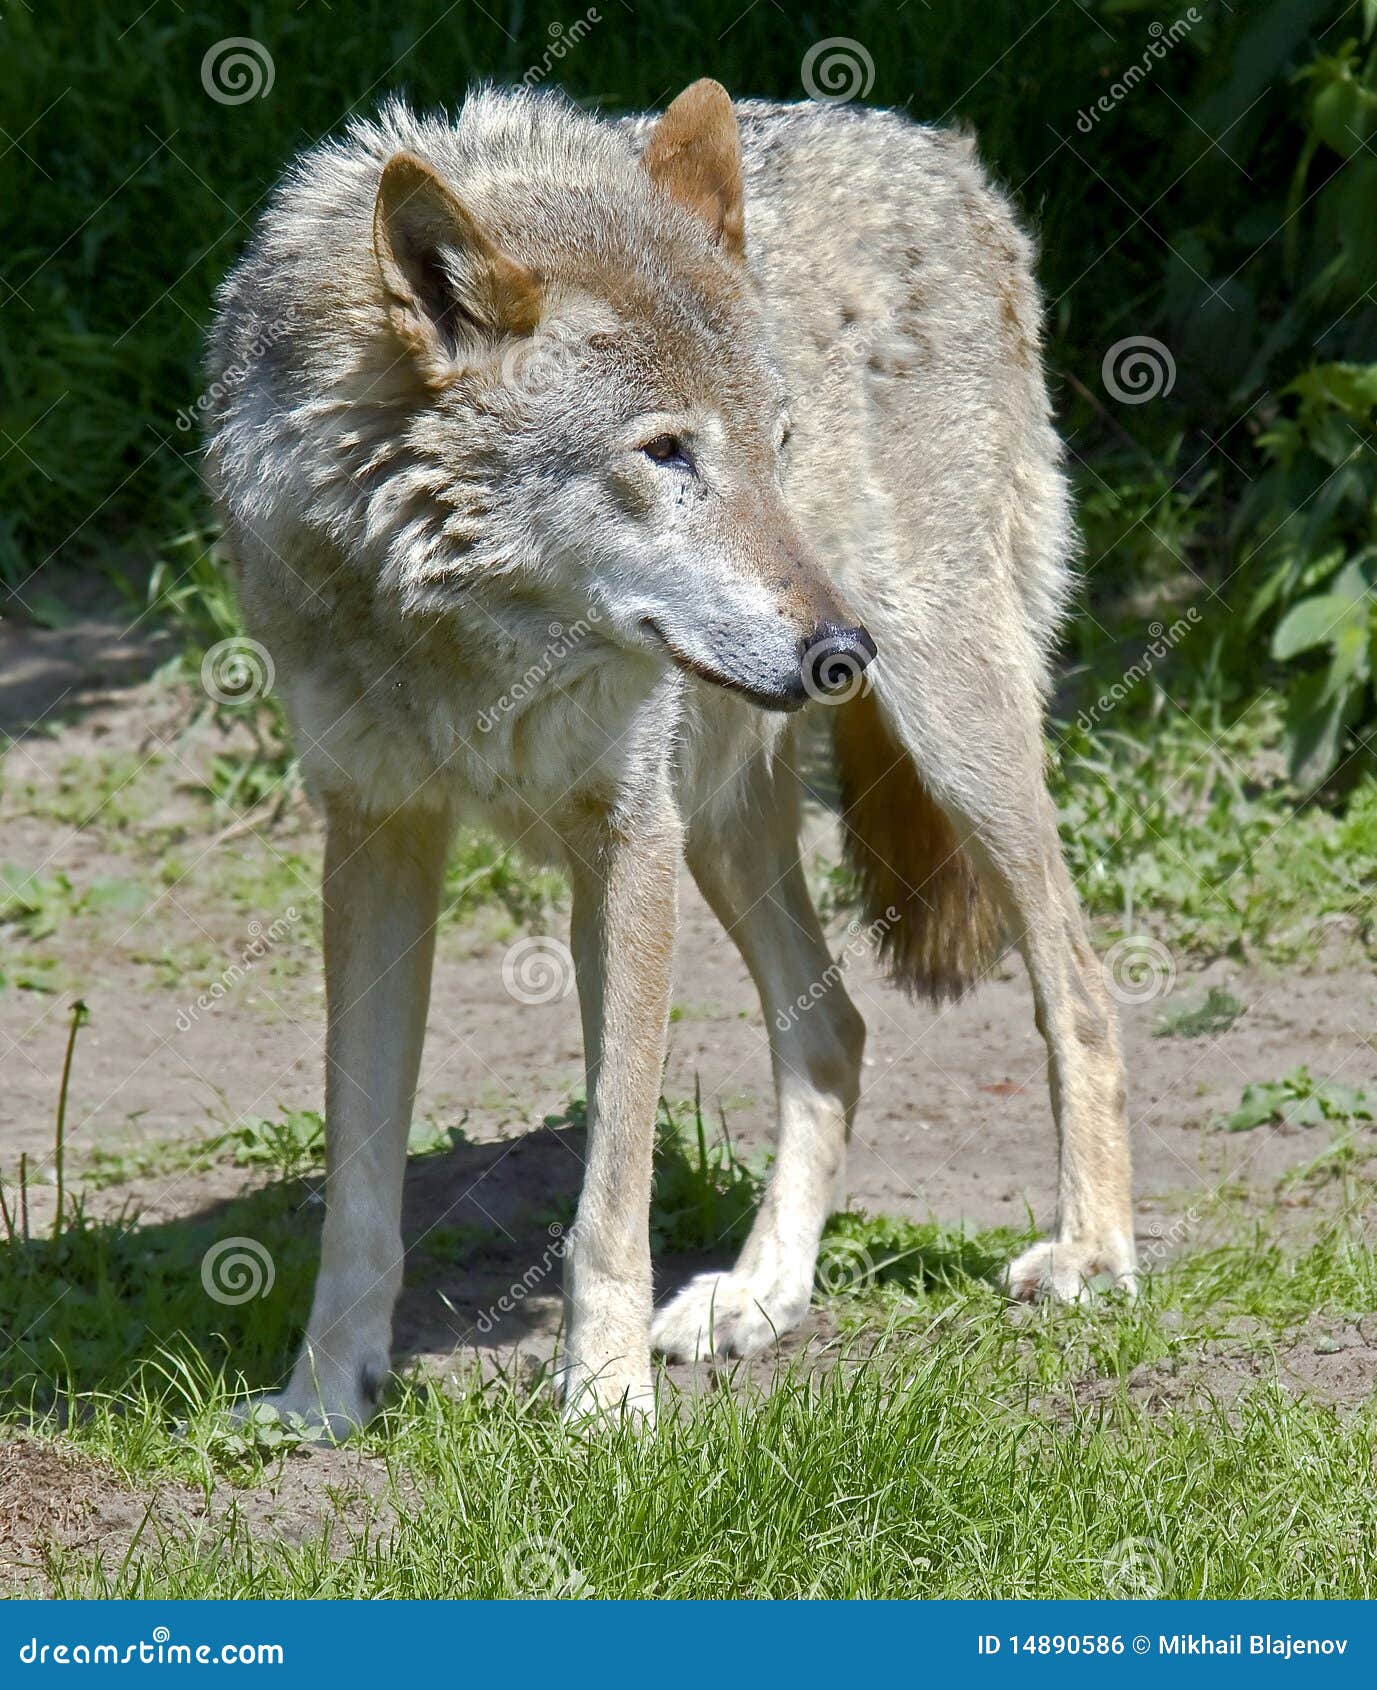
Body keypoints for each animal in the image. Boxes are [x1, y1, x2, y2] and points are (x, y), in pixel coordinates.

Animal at [205, 79, 1135, 1433]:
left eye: (779, 441)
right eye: (667, 453)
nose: (840, 649)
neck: (472, 633)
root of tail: (936, 151)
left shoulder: (624, 839)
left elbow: (612, 1189)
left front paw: (601, 1399)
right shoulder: (374, 834)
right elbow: (360, 1179)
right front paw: (324, 1396)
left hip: (949, 737)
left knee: (1081, 983)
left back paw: (1093, 1253)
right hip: (726, 818)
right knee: (837, 1031)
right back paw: (758, 1297)